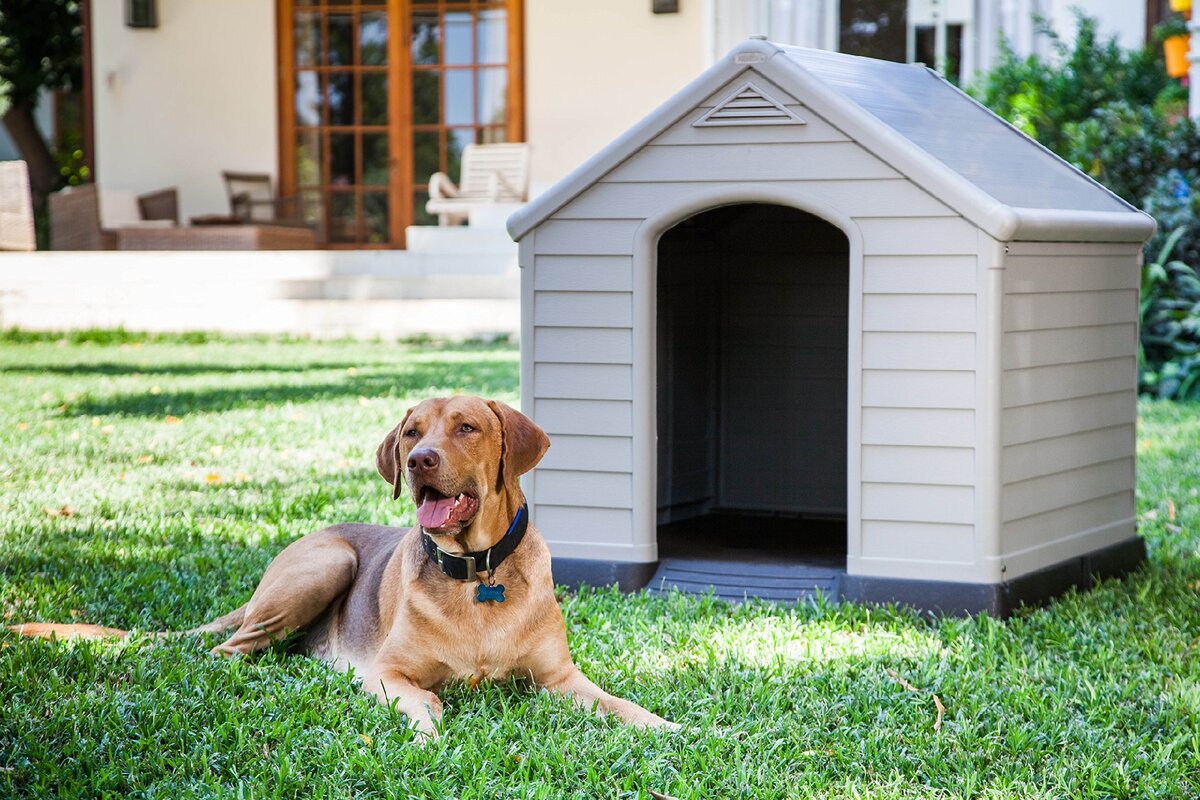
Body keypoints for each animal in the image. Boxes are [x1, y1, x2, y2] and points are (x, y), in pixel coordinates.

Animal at [11, 398, 676, 743]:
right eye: (412, 431)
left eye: (467, 427)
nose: (418, 460)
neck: (475, 573)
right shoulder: (390, 672)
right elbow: (426, 702)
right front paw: (430, 734)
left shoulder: (560, 680)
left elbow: (626, 706)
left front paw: (677, 729)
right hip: (326, 562)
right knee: (228, 652)